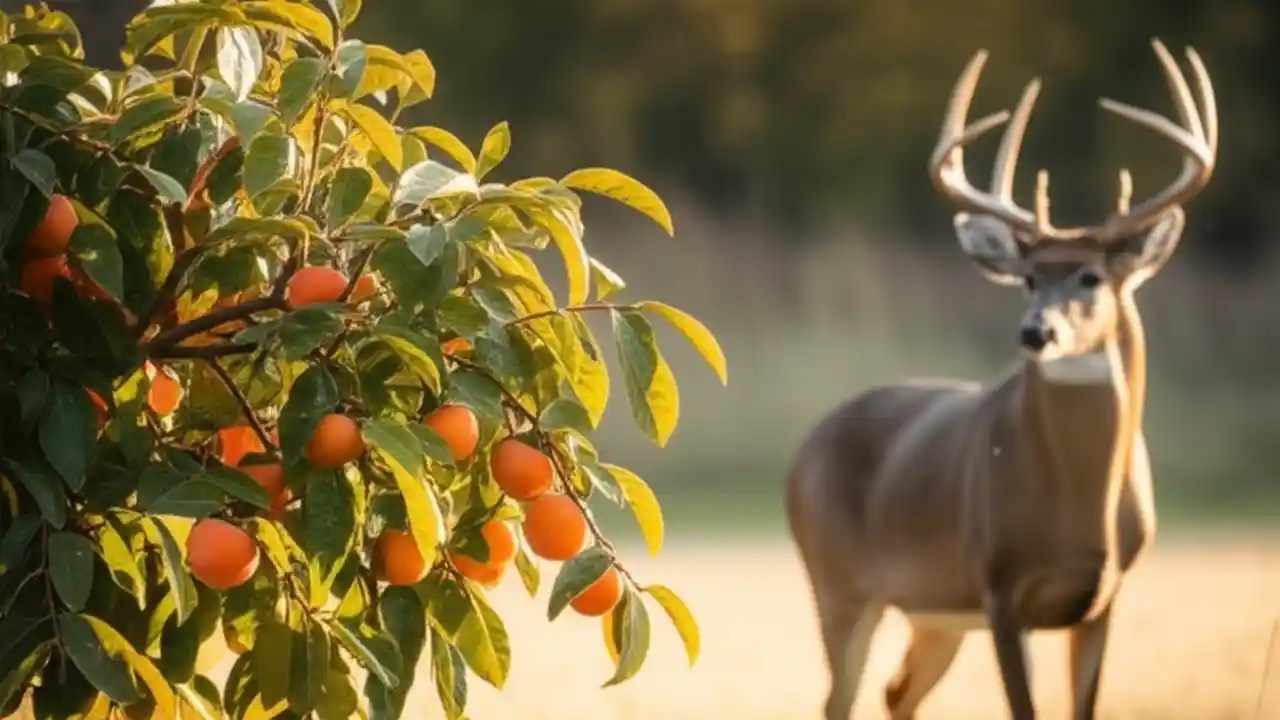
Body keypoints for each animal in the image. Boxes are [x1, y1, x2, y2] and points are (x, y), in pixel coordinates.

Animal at [785, 39, 1217, 720]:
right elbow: (1025, 709)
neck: (1076, 510)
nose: (1035, 331)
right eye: (1029, 278)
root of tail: (801, 451)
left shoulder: (1104, 597)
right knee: (839, 699)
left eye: (1091, 276)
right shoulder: (1000, 585)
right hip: (837, 581)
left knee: (895, 692)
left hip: (934, 614)